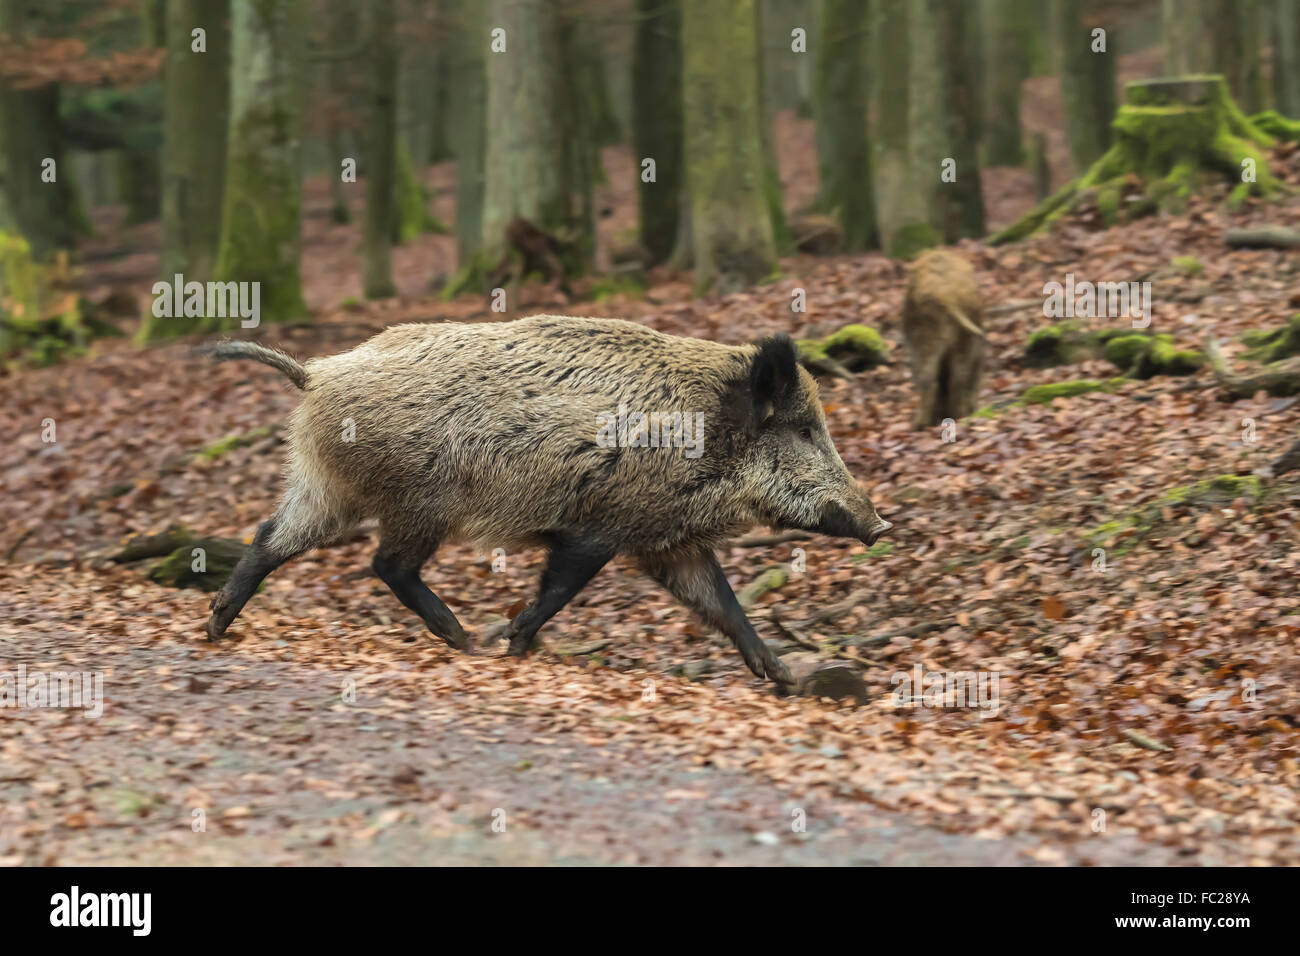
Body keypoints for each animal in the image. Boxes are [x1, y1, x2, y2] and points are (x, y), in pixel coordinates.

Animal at [200, 315, 892, 686]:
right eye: (805, 431)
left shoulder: (666, 540)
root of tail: (316, 373)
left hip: (330, 490)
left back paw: (214, 627)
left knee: (269, 537)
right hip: (418, 502)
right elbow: (560, 589)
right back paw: (465, 640)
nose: (881, 525)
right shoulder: (598, 527)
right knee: (386, 564)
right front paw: (515, 645)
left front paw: (784, 679)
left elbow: (722, 604)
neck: (704, 436)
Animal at [901, 250, 986, 428]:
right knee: (957, 379)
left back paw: (920, 424)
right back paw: (959, 415)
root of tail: (944, 292)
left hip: (927, 338)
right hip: (963, 340)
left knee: (927, 378)